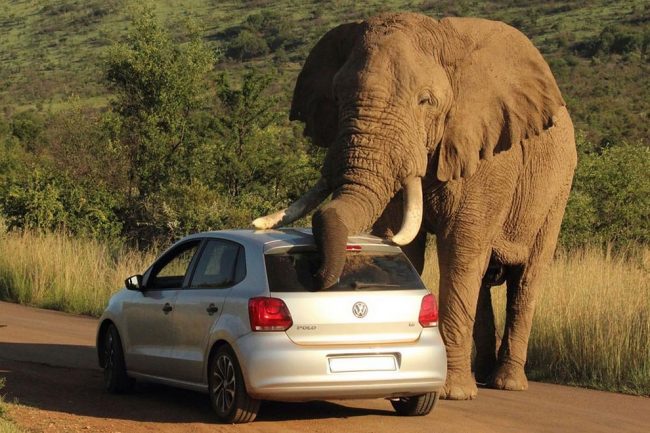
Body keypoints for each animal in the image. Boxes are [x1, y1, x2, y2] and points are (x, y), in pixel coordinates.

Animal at [252, 13, 576, 400]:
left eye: (426, 101)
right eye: (337, 97)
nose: (312, 275)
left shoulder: (489, 158)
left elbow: (460, 251)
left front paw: (452, 393)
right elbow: (406, 244)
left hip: (557, 189)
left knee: (524, 279)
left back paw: (506, 383)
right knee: (483, 279)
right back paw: (483, 376)